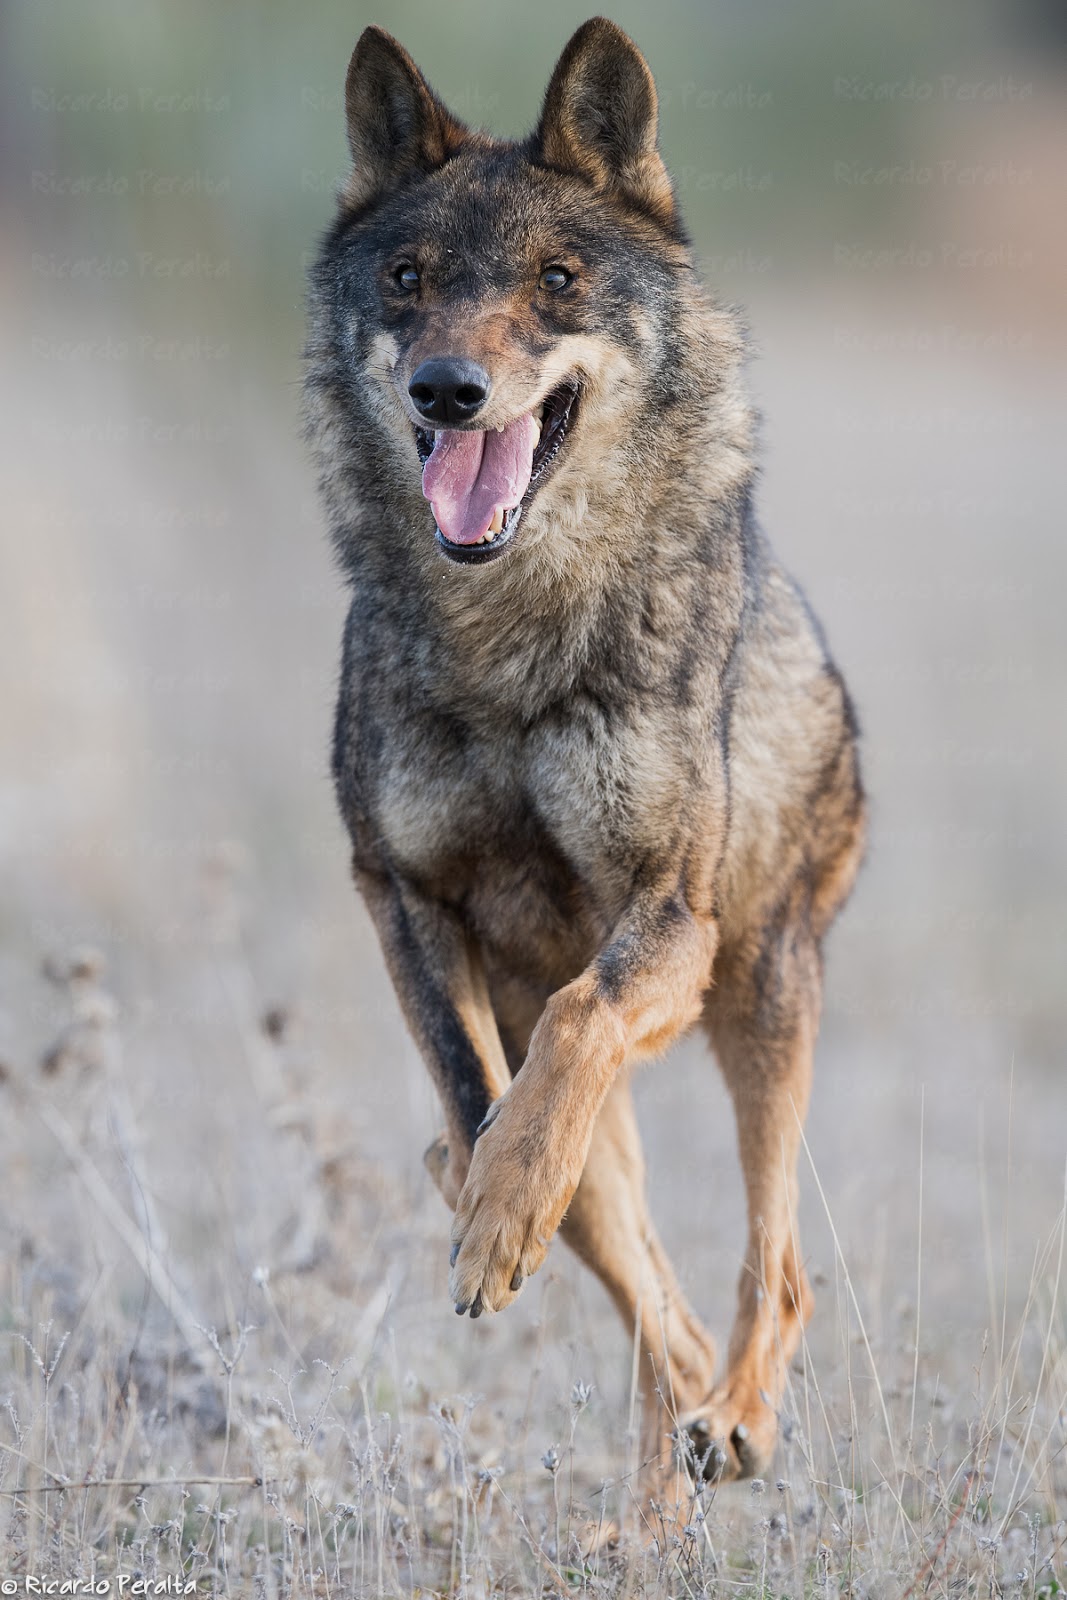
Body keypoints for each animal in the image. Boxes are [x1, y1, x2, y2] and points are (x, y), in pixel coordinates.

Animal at [305, 17, 865, 1490]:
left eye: (554, 281)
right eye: (407, 280)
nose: (449, 388)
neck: (506, 635)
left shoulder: (667, 922)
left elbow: (574, 1023)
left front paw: (497, 1204)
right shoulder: (399, 895)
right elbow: (474, 1094)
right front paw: (484, 1196)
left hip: (760, 1000)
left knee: (771, 1271)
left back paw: (734, 1424)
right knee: (654, 1305)